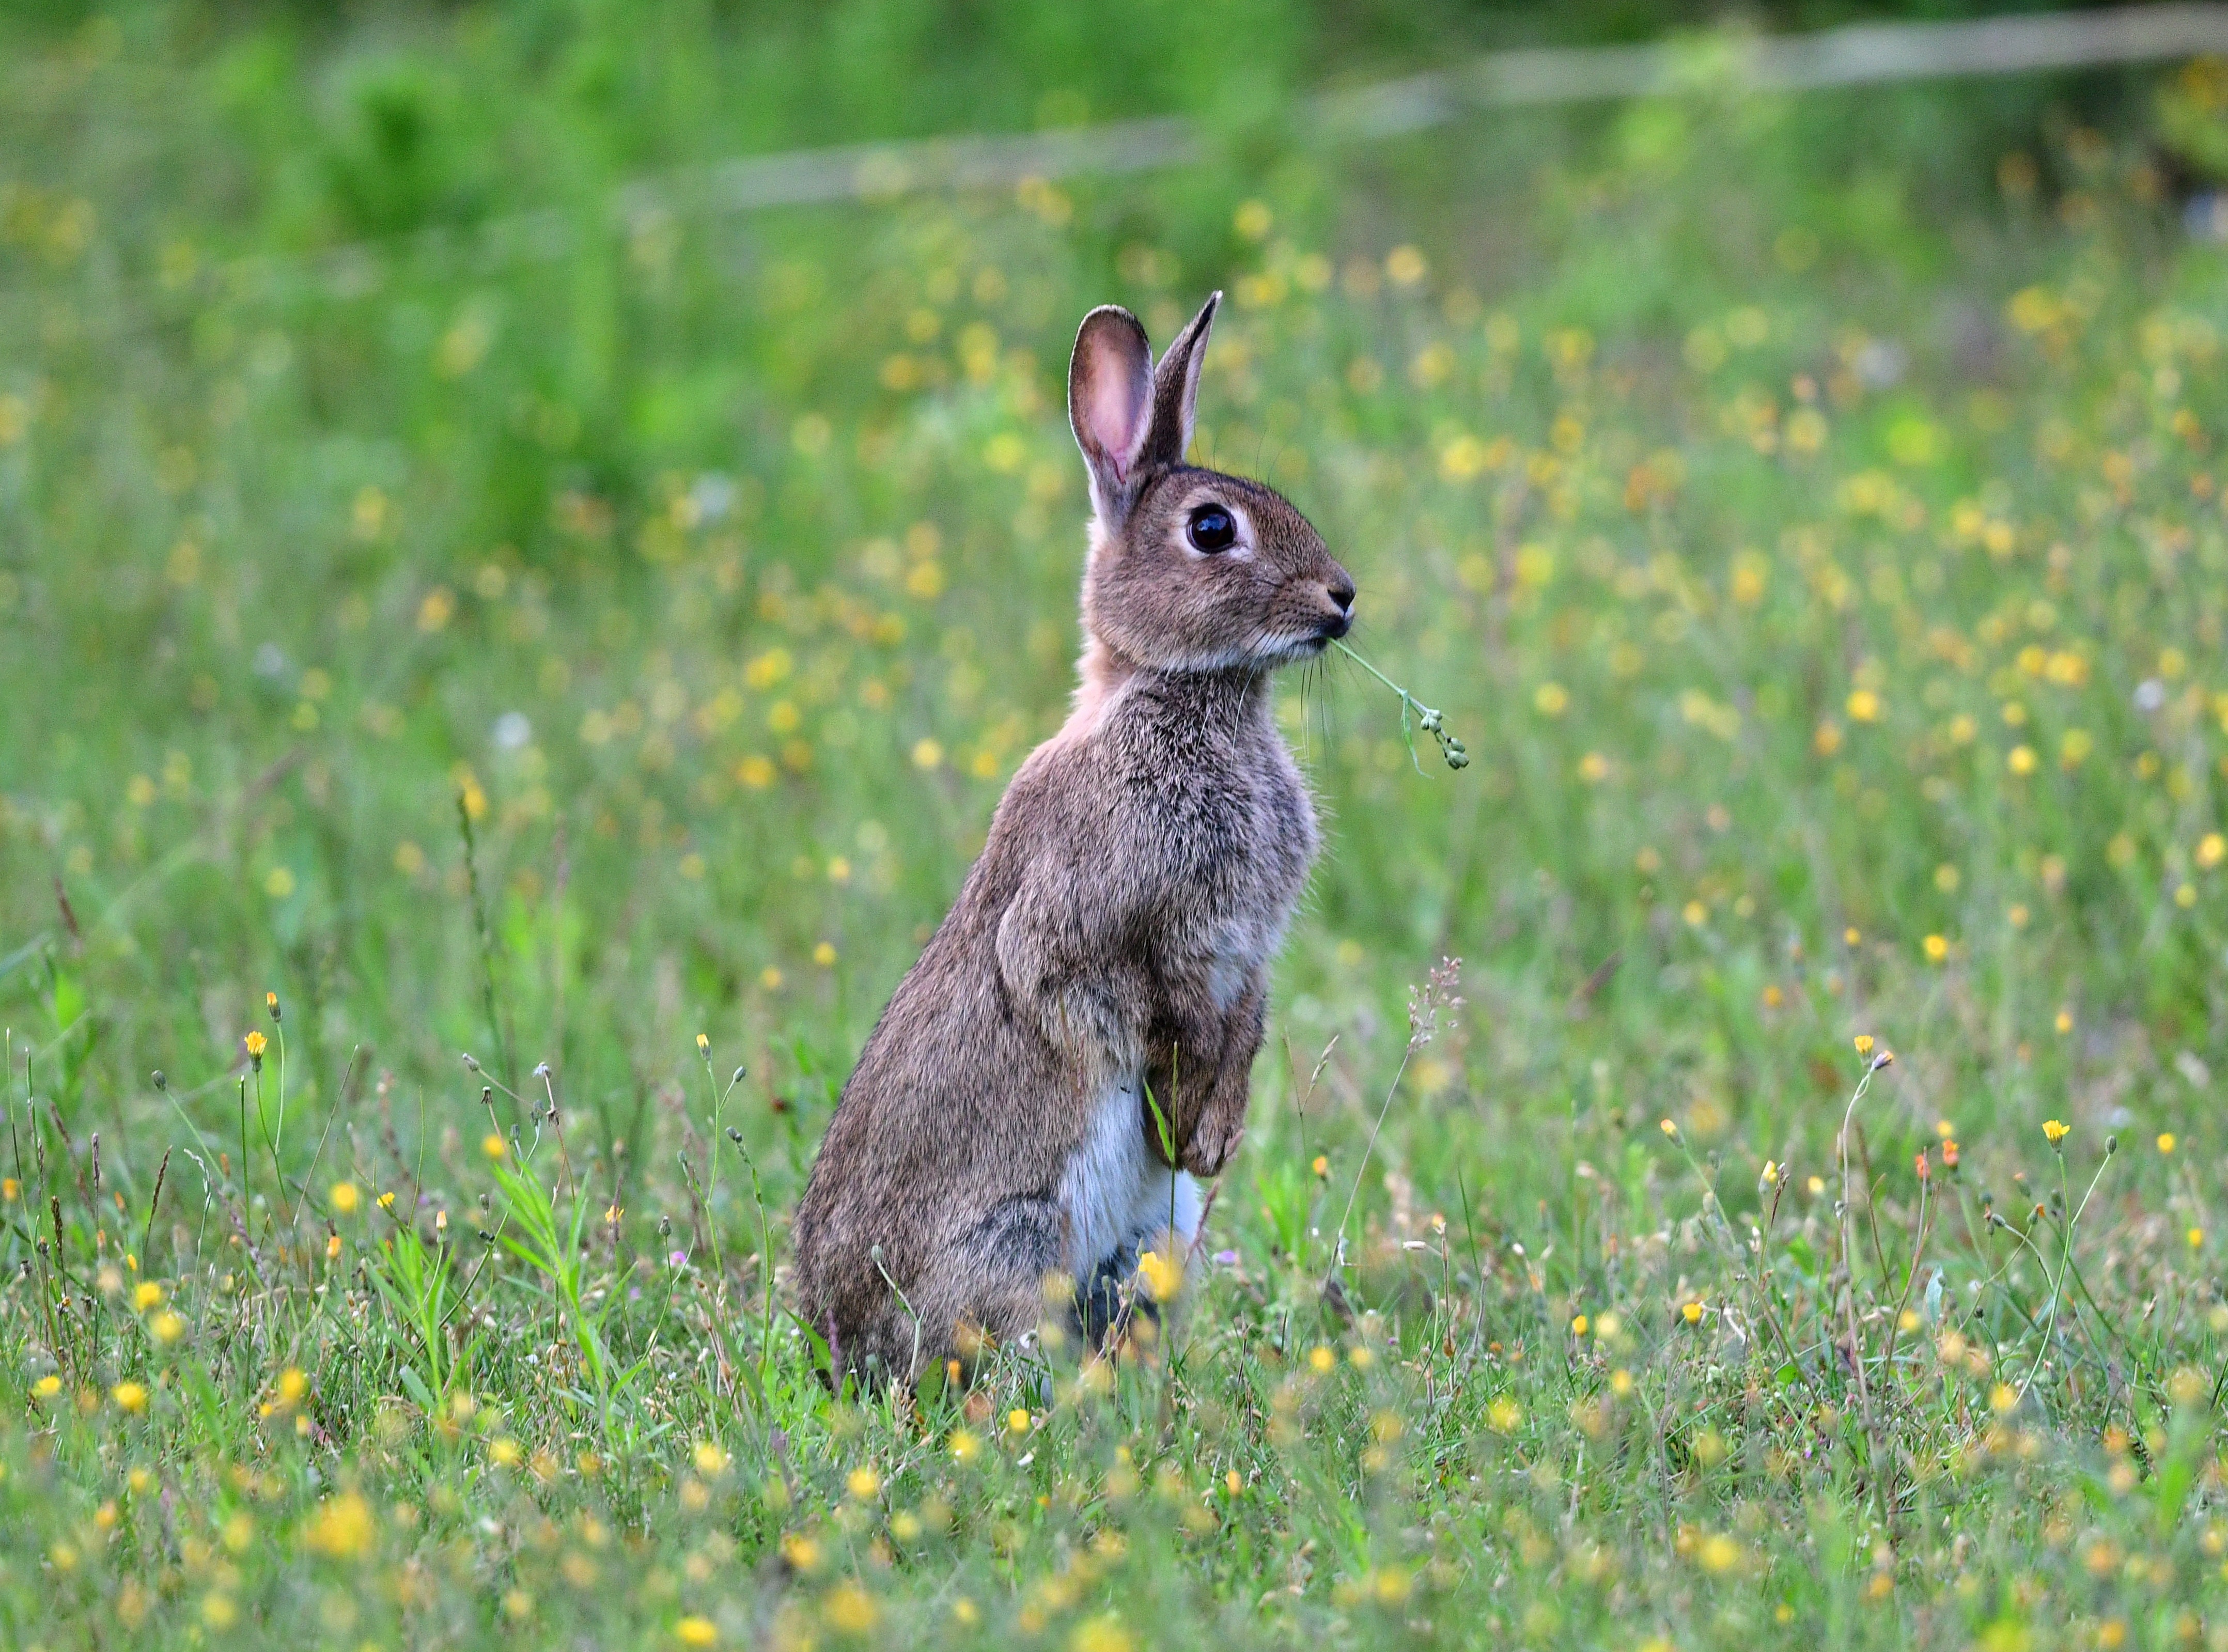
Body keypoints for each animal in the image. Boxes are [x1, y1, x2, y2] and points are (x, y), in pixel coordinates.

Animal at [791, 292, 1354, 1387]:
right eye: (1211, 527)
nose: (1342, 598)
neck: (1181, 692)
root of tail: (838, 1341)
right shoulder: (1090, 934)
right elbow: (1133, 1009)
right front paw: (1182, 1124)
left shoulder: (1248, 954)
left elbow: (1241, 1027)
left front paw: (1209, 1141)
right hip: (1020, 1235)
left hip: (1146, 1239)